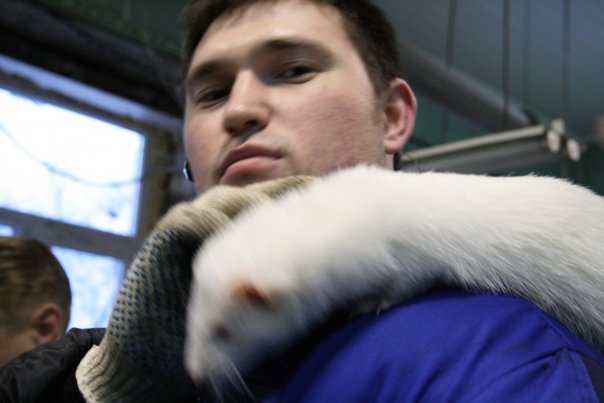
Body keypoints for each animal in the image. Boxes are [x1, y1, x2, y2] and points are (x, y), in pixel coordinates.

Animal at [184, 165, 604, 392]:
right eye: (191, 319)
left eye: (222, 330)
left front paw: (371, 303)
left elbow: (409, 283)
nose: (195, 375)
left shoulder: (414, 263)